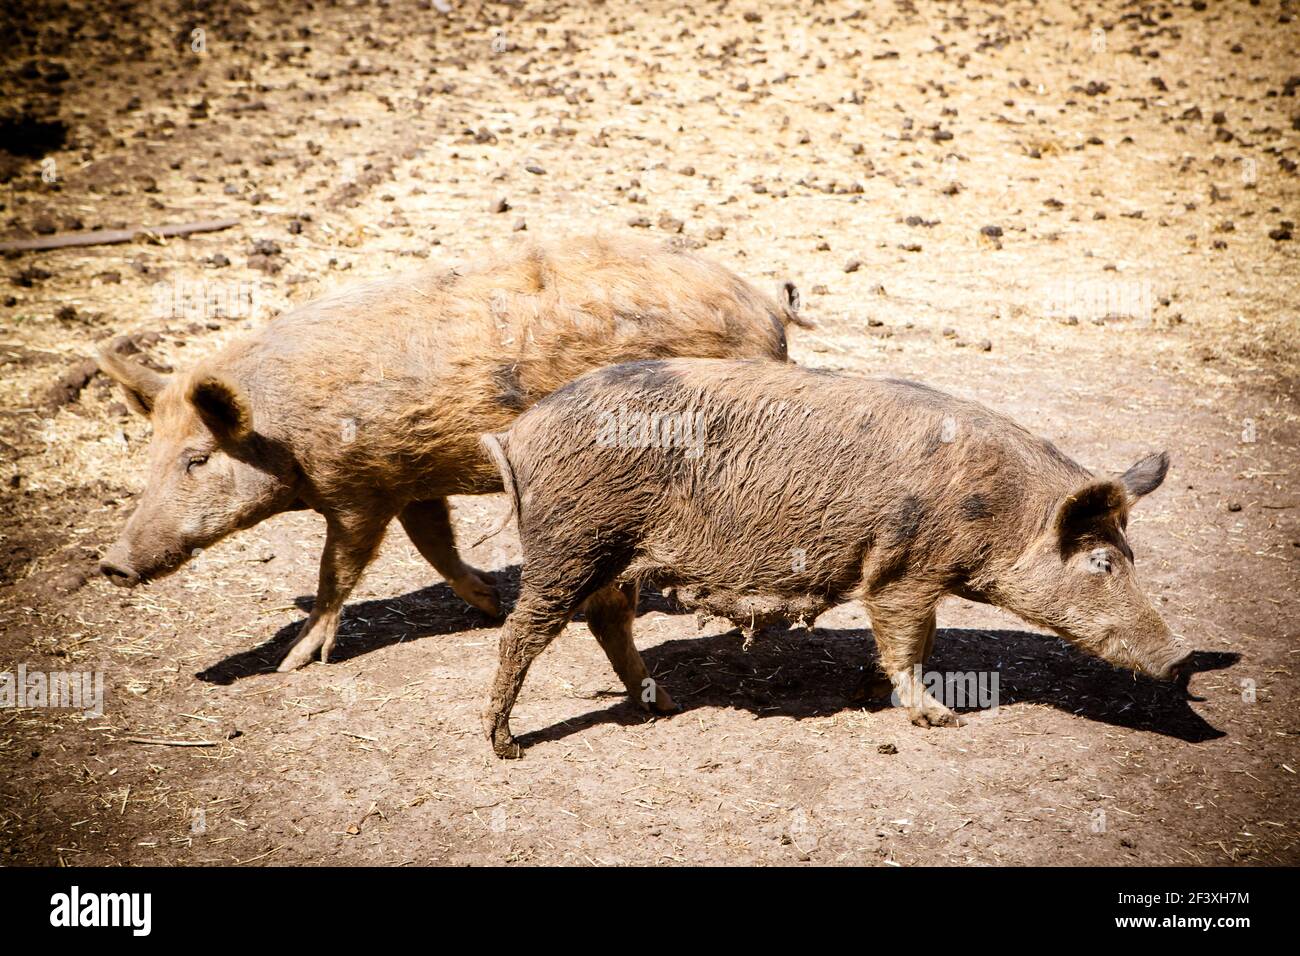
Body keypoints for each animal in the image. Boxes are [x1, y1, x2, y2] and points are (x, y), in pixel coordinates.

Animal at [96, 236, 808, 672]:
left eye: (197, 459)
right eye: (151, 457)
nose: (112, 564)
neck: (286, 429)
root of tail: (768, 308)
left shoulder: (358, 490)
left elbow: (336, 571)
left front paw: (294, 662)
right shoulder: (410, 478)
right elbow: (434, 544)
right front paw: (491, 602)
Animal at [478, 358, 1192, 757]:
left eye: (1134, 555)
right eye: (1102, 564)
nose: (1180, 657)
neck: (1002, 511)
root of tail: (517, 432)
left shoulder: (914, 576)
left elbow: (920, 638)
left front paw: (871, 692)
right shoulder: (904, 569)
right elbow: (908, 641)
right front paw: (940, 719)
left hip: (614, 556)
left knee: (607, 623)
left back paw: (666, 706)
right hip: (571, 543)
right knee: (521, 633)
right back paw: (508, 747)